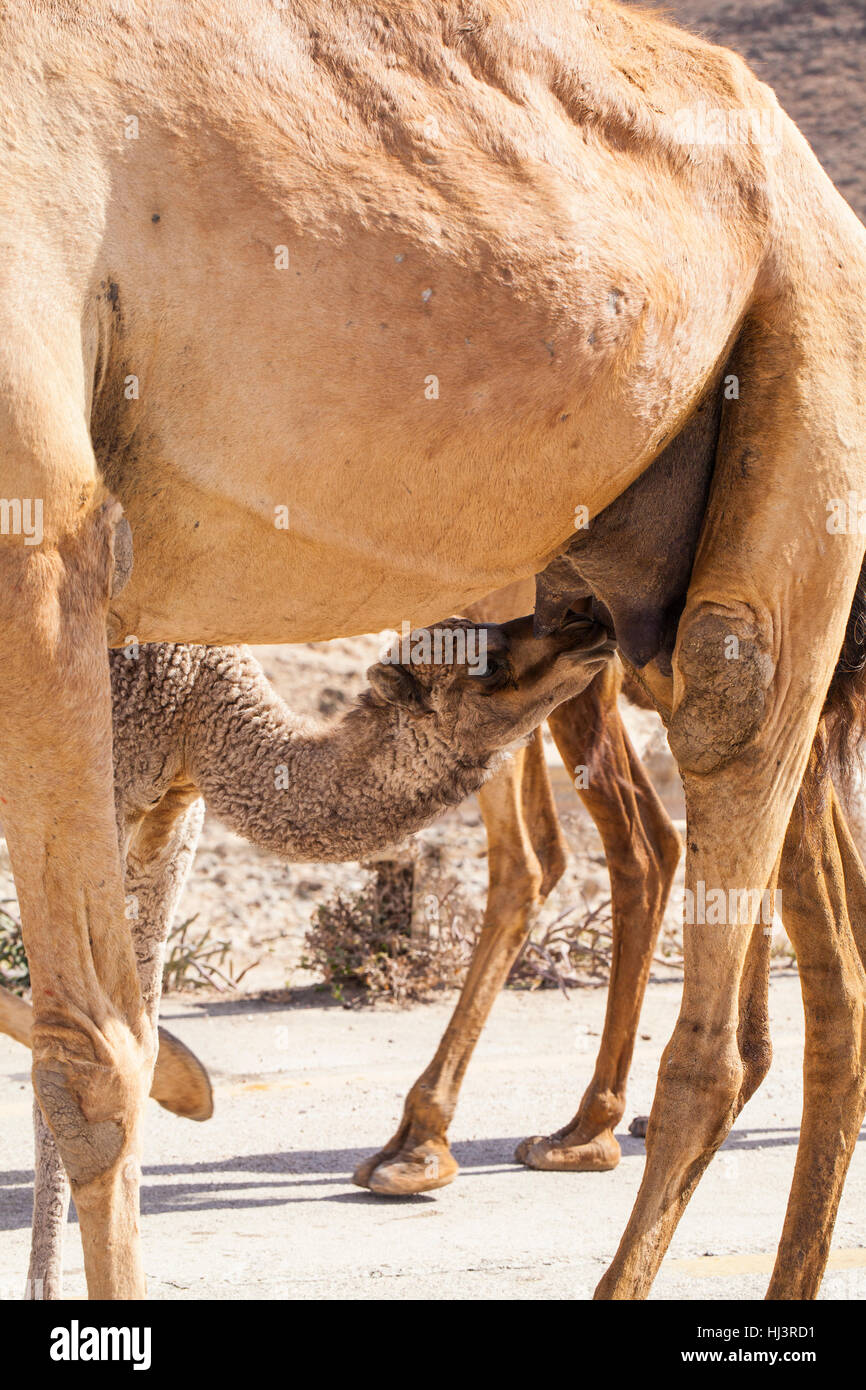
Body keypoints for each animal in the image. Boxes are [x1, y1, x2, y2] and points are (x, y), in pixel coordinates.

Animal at [2, 0, 866, 1299]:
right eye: (474, 663)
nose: (559, 621)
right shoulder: (139, 748)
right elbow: (118, 1018)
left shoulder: (52, 564)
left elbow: (92, 1048)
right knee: (824, 978)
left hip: (799, 404)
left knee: (715, 965)